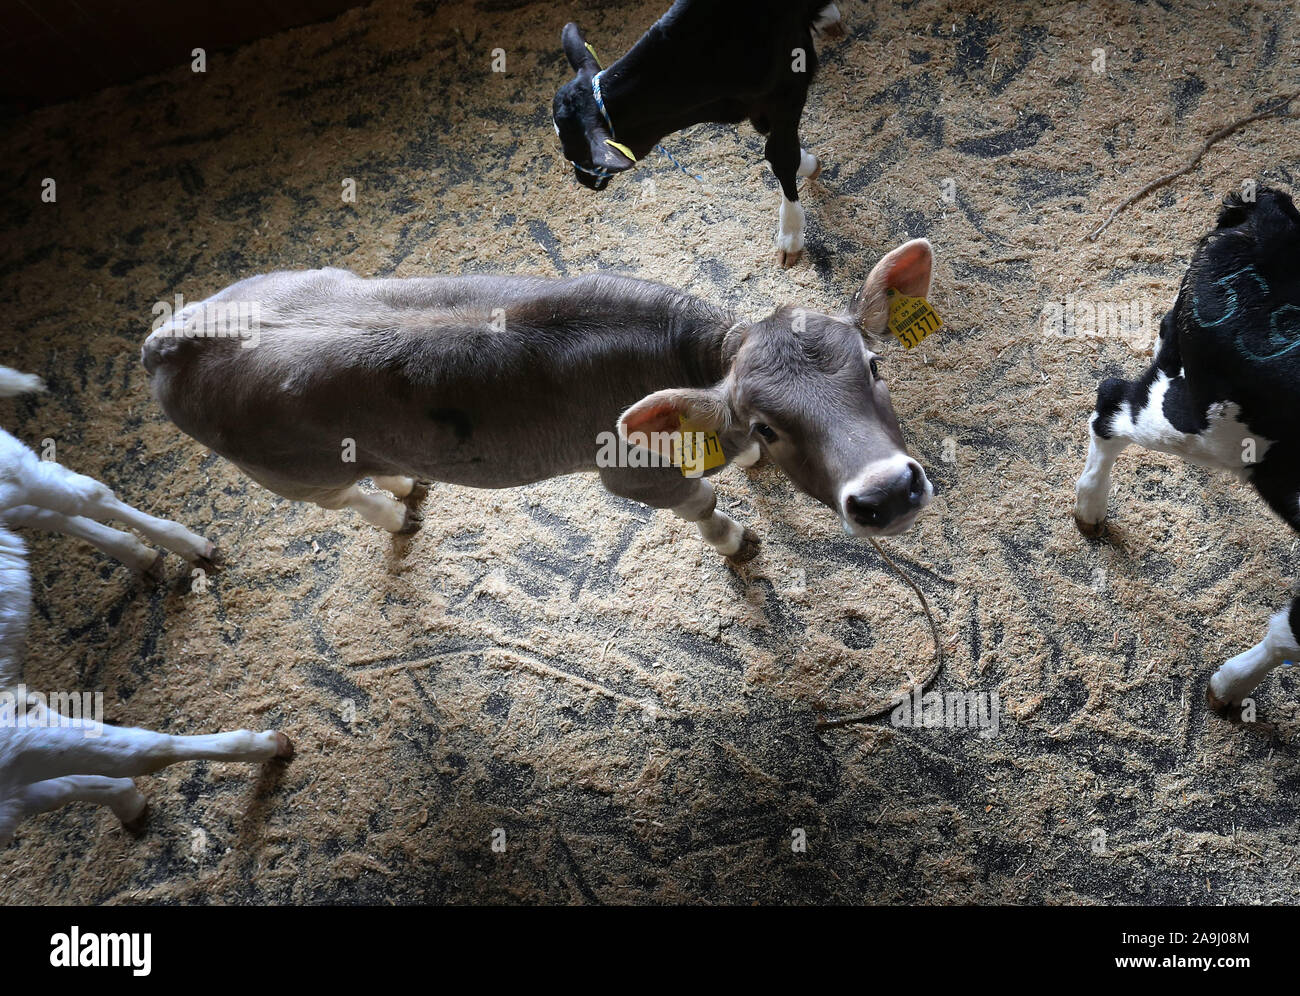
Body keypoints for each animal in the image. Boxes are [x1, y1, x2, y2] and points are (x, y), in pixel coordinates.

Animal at [0, 370, 291, 848]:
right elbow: (63, 788)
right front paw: (129, 804)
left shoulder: (14, 741)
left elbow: (147, 752)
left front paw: (269, 744)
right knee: (49, 511)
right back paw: (140, 554)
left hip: (10, 473)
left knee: (84, 495)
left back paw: (185, 547)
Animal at [141, 239, 938, 561]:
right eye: (768, 424)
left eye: (874, 364)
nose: (888, 493)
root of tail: (173, 334)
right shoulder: (629, 474)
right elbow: (703, 506)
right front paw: (737, 540)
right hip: (289, 474)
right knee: (343, 499)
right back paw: (394, 512)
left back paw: (405, 480)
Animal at [551, 1, 846, 267]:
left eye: (583, 157)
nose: (583, 181)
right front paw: (809, 163)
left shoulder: (790, 83)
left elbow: (781, 156)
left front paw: (790, 236)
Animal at [1073, 187, 1300, 713]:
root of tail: (1263, 211)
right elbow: (1290, 634)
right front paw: (1227, 690)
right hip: (1210, 424)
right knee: (1113, 399)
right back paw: (1089, 512)